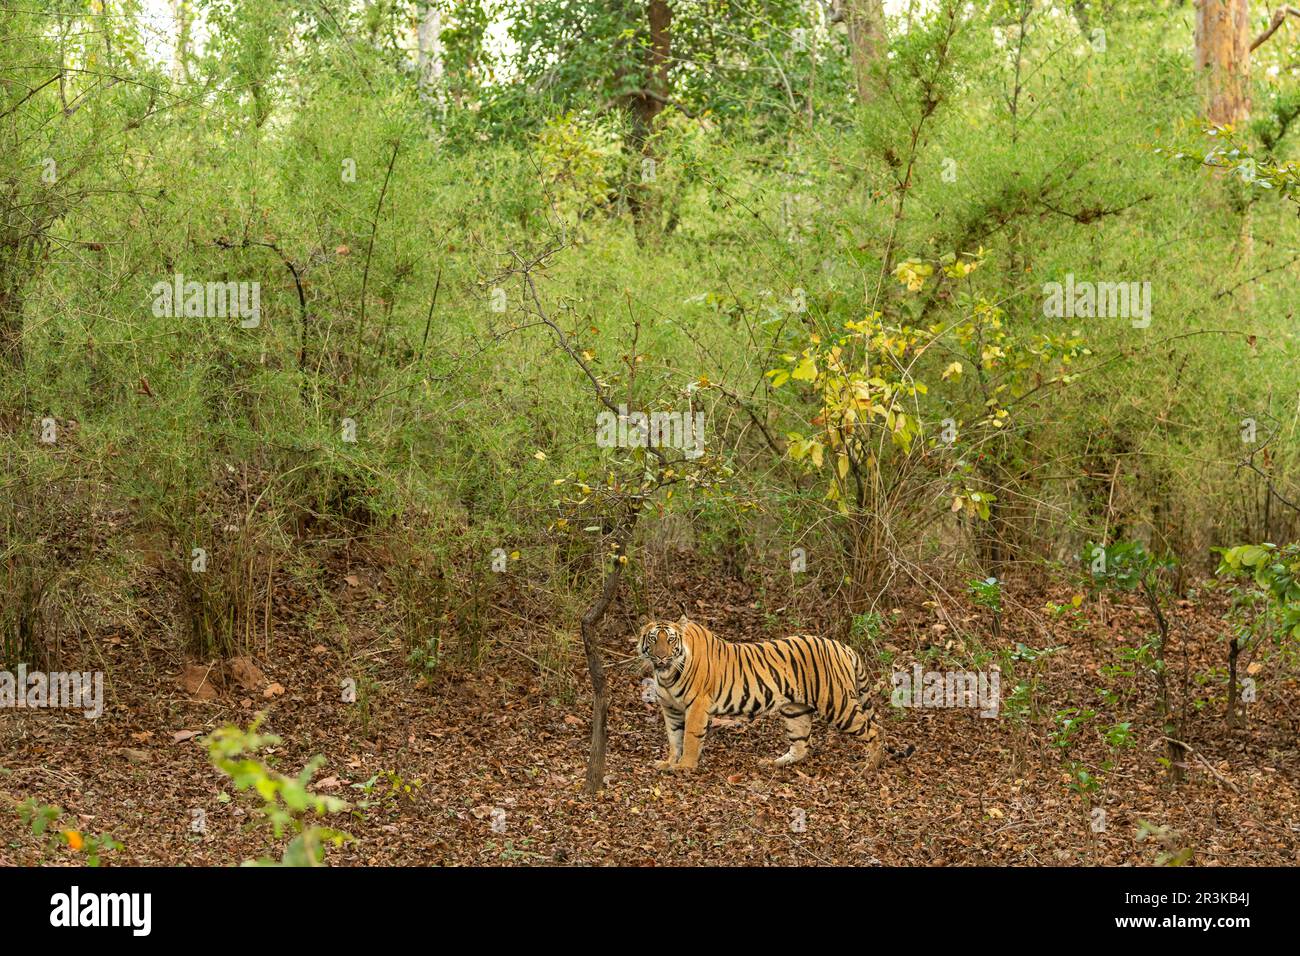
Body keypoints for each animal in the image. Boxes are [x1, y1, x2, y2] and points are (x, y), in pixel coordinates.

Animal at [637, 617, 886, 773]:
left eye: (670, 640)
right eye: (653, 639)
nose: (661, 657)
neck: (667, 674)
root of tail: (843, 646)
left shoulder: (697, 705)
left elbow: (689, 737)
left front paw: (685, 767)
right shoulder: (671, 708)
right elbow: (674, 737)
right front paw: (669, 762)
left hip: (838, 704)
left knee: (875, 729)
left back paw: (869, 767)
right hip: (795, 710)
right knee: (801, 746)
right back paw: (773, 763)